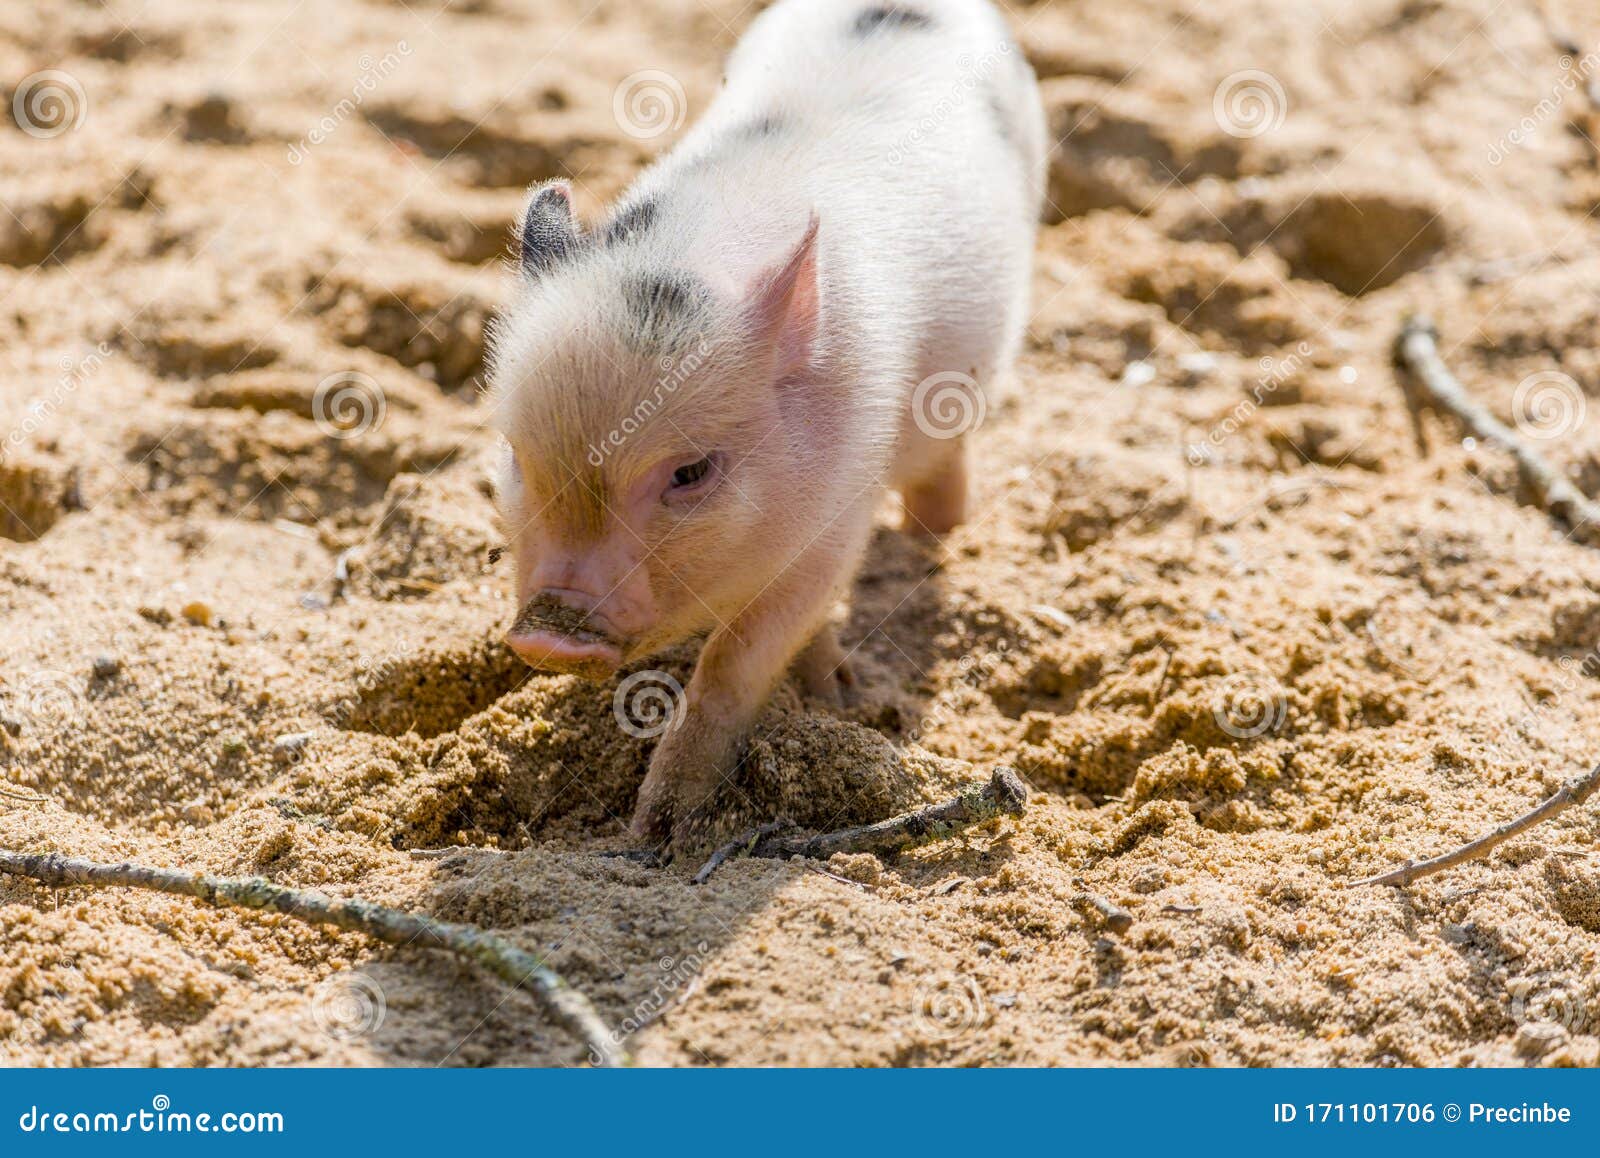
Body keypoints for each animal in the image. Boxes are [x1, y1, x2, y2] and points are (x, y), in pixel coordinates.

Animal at [488, 0, 1045, 846]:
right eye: (519, 459)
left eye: (689, 472)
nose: (549, 630)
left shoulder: (840, 515)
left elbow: (735, 662)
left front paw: (660, 836)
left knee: (943, 475)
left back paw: (937, 538)